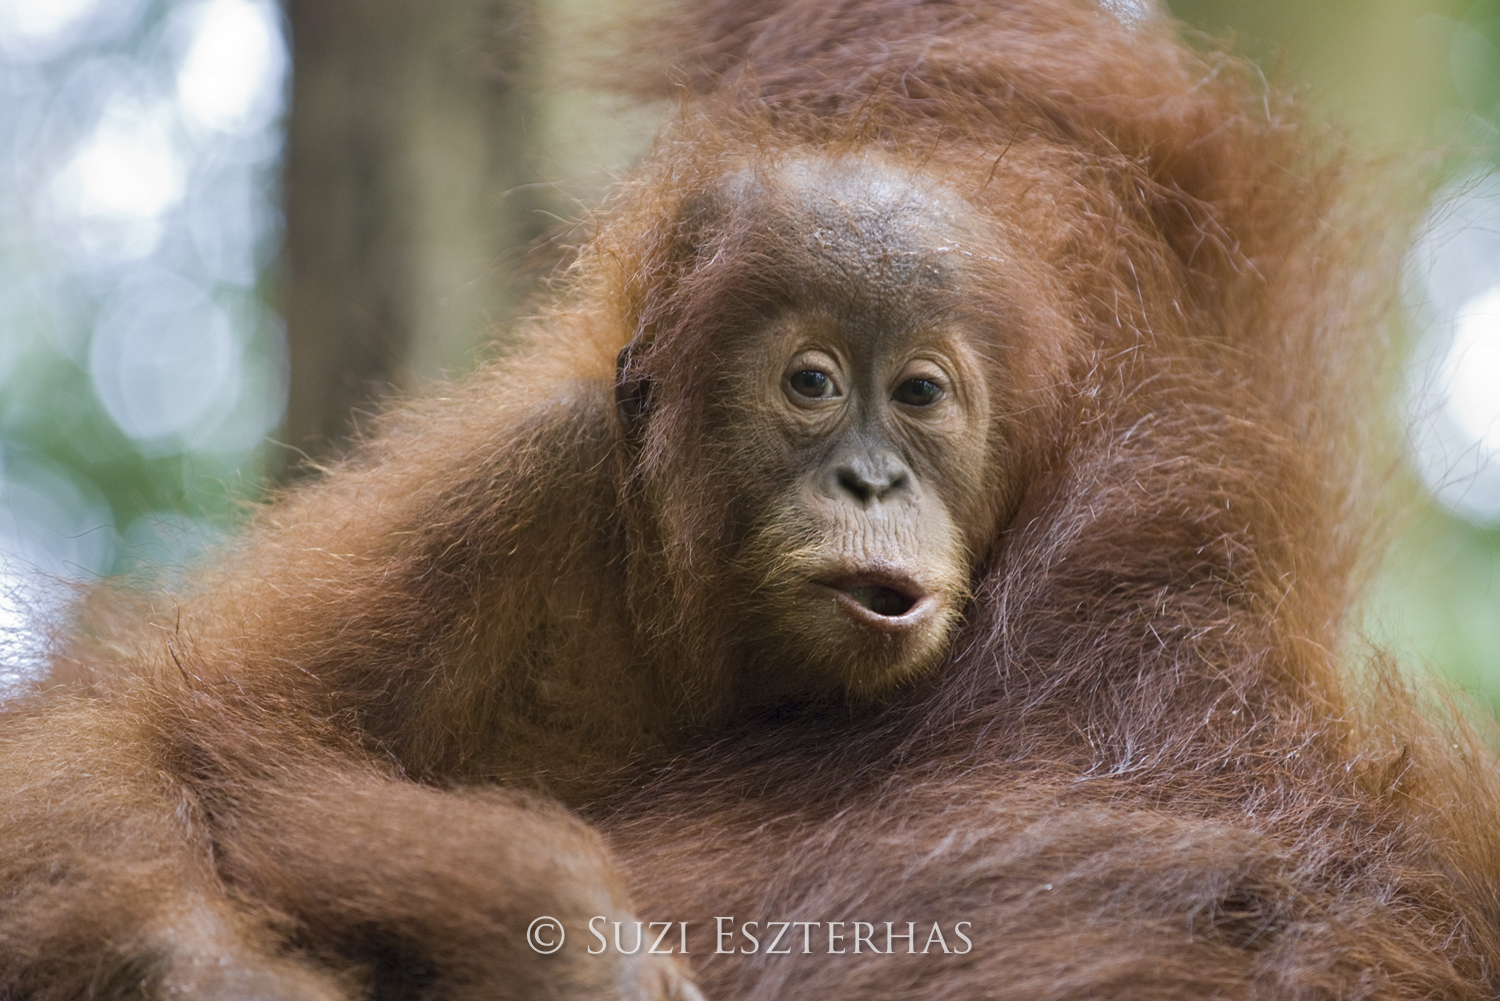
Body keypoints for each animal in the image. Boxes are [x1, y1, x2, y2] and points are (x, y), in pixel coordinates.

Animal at [4, 0, 1500, 998]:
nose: (871, 475)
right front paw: (590, 954)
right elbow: (229, 730)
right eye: (811, 383)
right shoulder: (523, 478)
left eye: (920, 394)